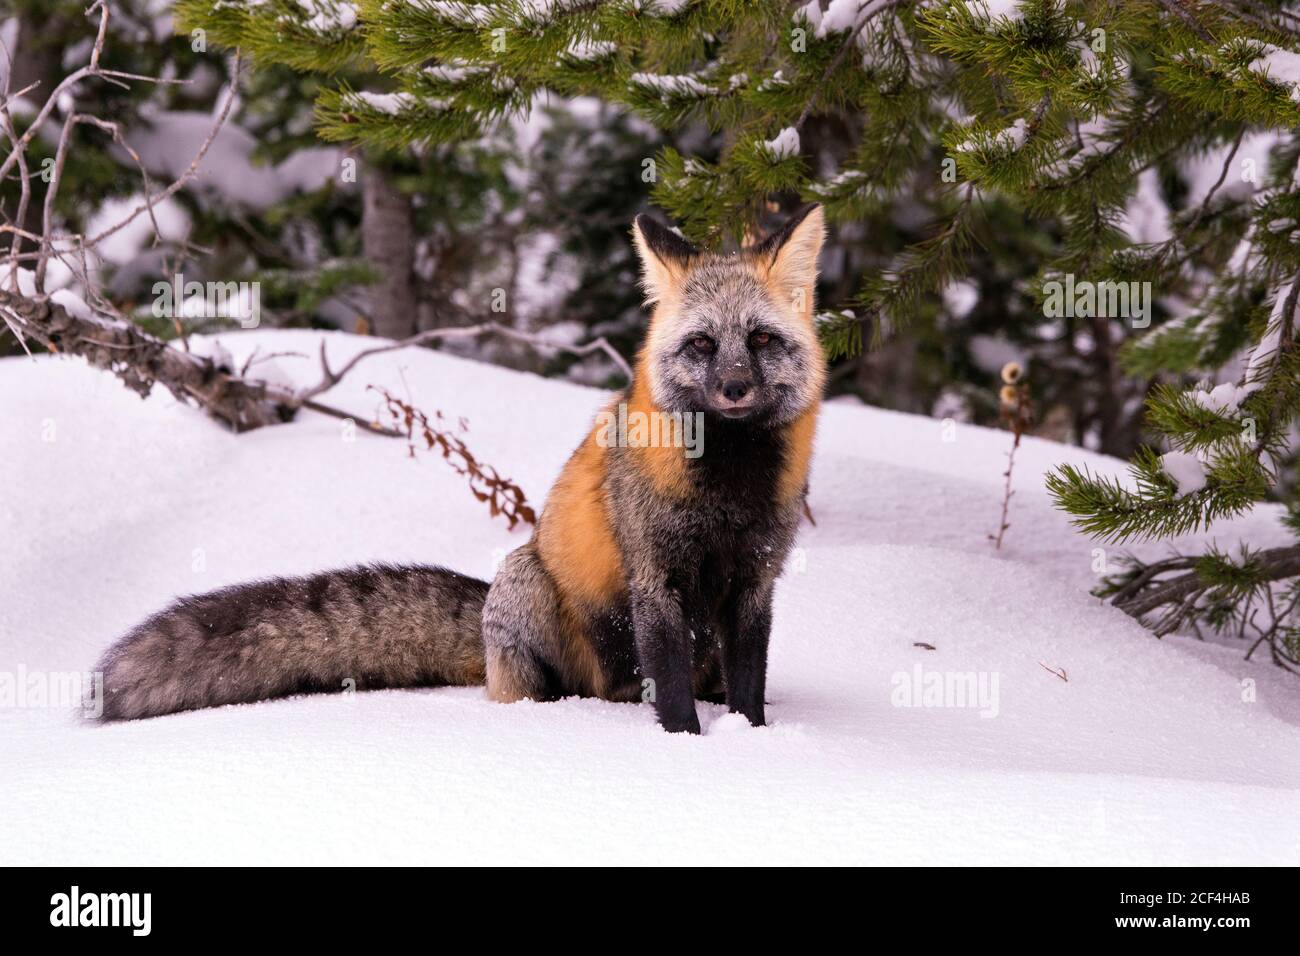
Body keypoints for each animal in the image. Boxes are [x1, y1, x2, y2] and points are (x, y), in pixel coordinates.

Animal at [93, 204, 828, 733]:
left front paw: (751, 740)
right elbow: (672, 695)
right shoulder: (656, 581)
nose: (734, 388)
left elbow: (749, 686)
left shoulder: (755, 581)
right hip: (527, 587)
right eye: (702, 343)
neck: (728, 488)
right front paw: (688, 748)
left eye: (761, 339)